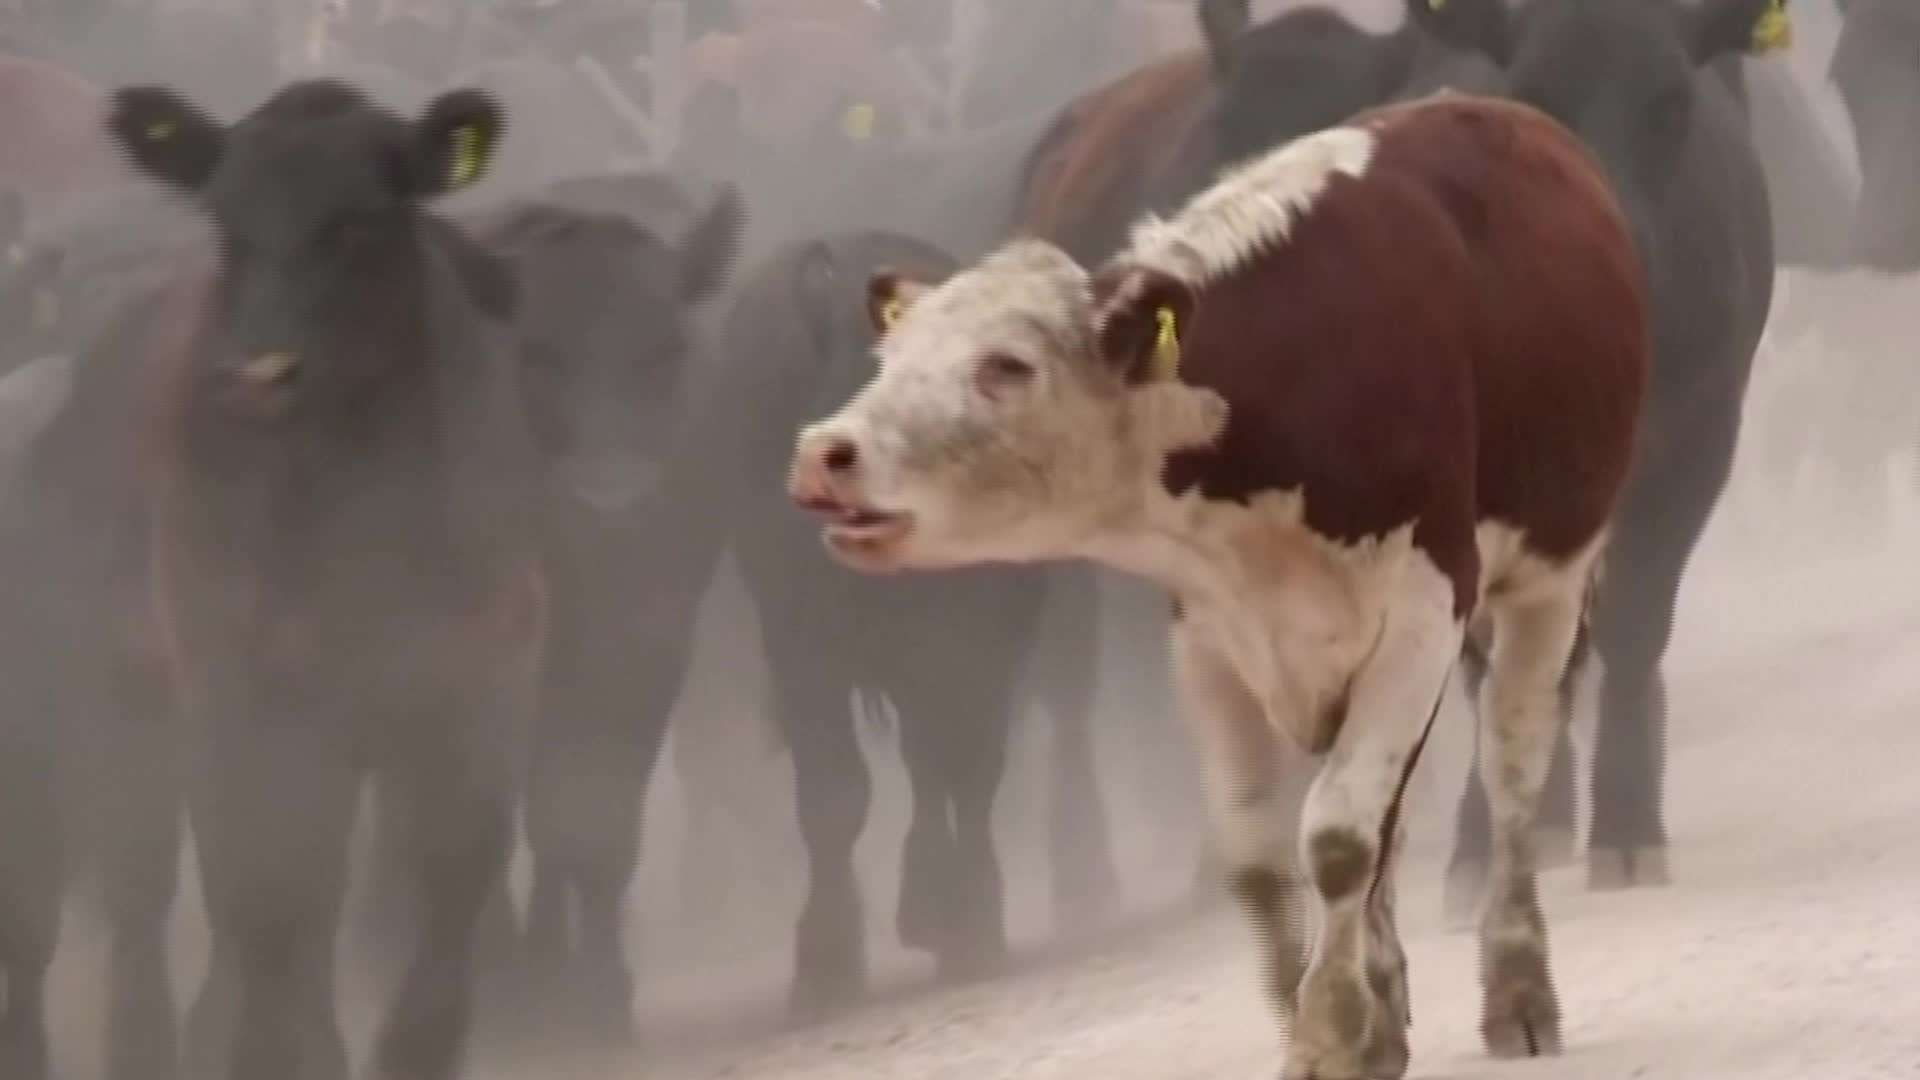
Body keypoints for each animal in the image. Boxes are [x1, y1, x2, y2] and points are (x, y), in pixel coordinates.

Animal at [20, 78, 542, 1080]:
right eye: (225, 219)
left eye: (365, 217)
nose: (258, 375)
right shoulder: (245, 697)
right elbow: (262, 897)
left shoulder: (473, 683)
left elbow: (451, 878)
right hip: (124, 704)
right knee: (144, 900)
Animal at [789, 93, 1647, 1078]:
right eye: (887, 359)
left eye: (1006, 365)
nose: (825, 450)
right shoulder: (1211, 634)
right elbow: (1258, 849)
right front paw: (1330, 1019)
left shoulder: (1425, 610)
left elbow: (1341, 836)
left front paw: (1329, 1032)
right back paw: (1388, 1006)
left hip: (1551, 579)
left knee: (1511, 764)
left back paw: (1516, 987)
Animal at [1414, 0, 1780, 919]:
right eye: (1533, 94)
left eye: (1671, 102)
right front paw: (1480, 843)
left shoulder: (1699, 437)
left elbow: (1635, 624)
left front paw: (1626, 828)